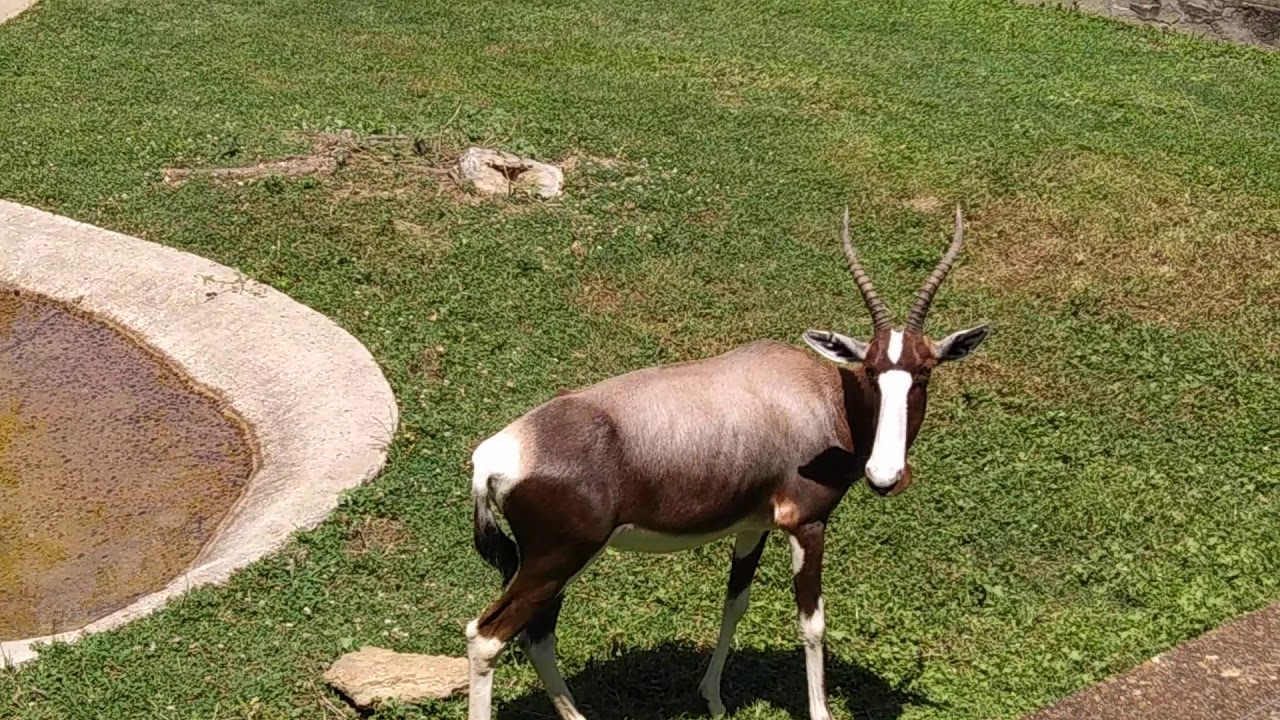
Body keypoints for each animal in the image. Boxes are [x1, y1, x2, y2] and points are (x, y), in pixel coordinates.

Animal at [466, 206, 989, 720]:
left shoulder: (752, 526)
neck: (815, 394)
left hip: (562, 562)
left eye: (924, 371)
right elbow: (812, 623)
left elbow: (734, 602)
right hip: (556, 560)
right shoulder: (807, 524)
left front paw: (713, 698)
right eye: (871, 368)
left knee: (537, 636)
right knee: (486, 637)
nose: (885, 476)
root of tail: (494, 456)